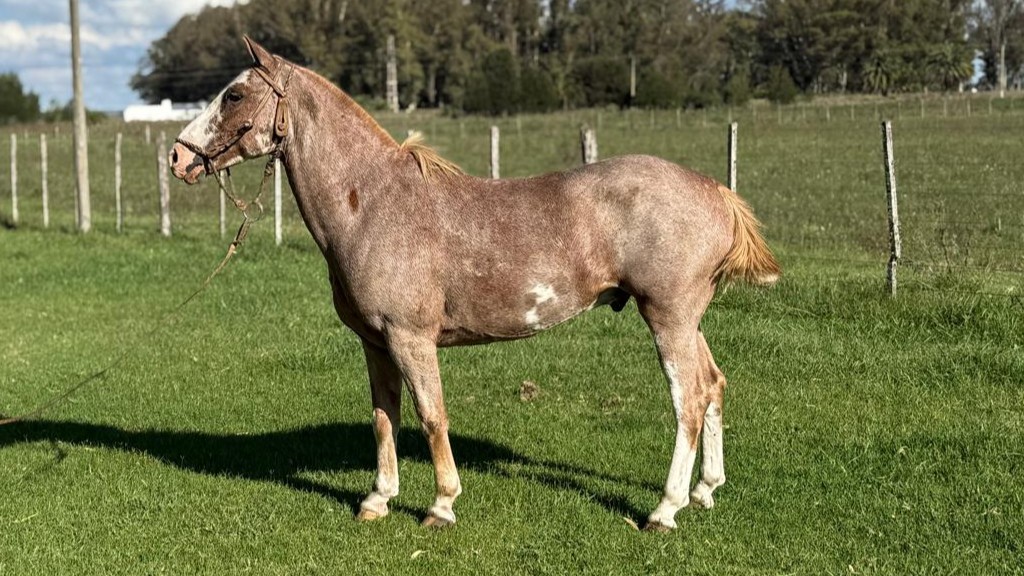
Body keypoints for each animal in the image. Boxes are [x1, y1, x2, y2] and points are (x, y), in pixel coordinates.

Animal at [169, 36, 780, 532]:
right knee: (714, 385)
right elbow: (385, 418)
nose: (177, 157)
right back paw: (704, 492)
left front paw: (441, 506)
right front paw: (377, 500)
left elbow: (431, 416)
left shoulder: (411, 338)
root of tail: (715, 191)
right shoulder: (375, 343)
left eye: (234, 96)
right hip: (685, 320)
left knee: (689, 400)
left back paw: (664, 509)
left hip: (668, 318)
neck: (372, 203)